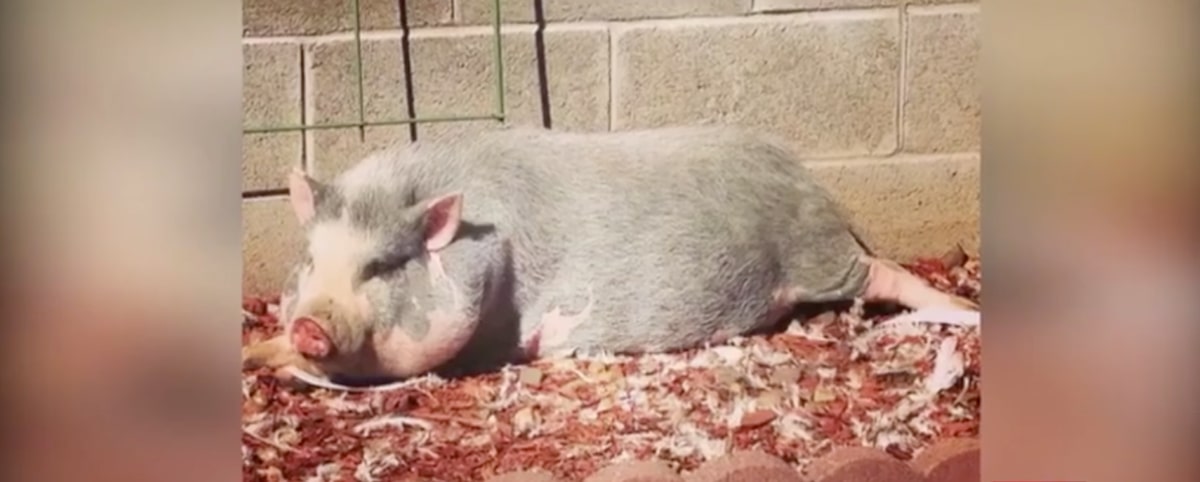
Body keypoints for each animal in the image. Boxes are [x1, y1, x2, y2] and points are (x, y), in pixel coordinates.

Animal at [242, 126, 978, 384]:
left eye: (383, 266)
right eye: (309, 262)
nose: (309, 324)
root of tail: (802, 173)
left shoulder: (476, 340)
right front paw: (255, 352)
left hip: (821, 254)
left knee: (885, 271)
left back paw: (962, 309)